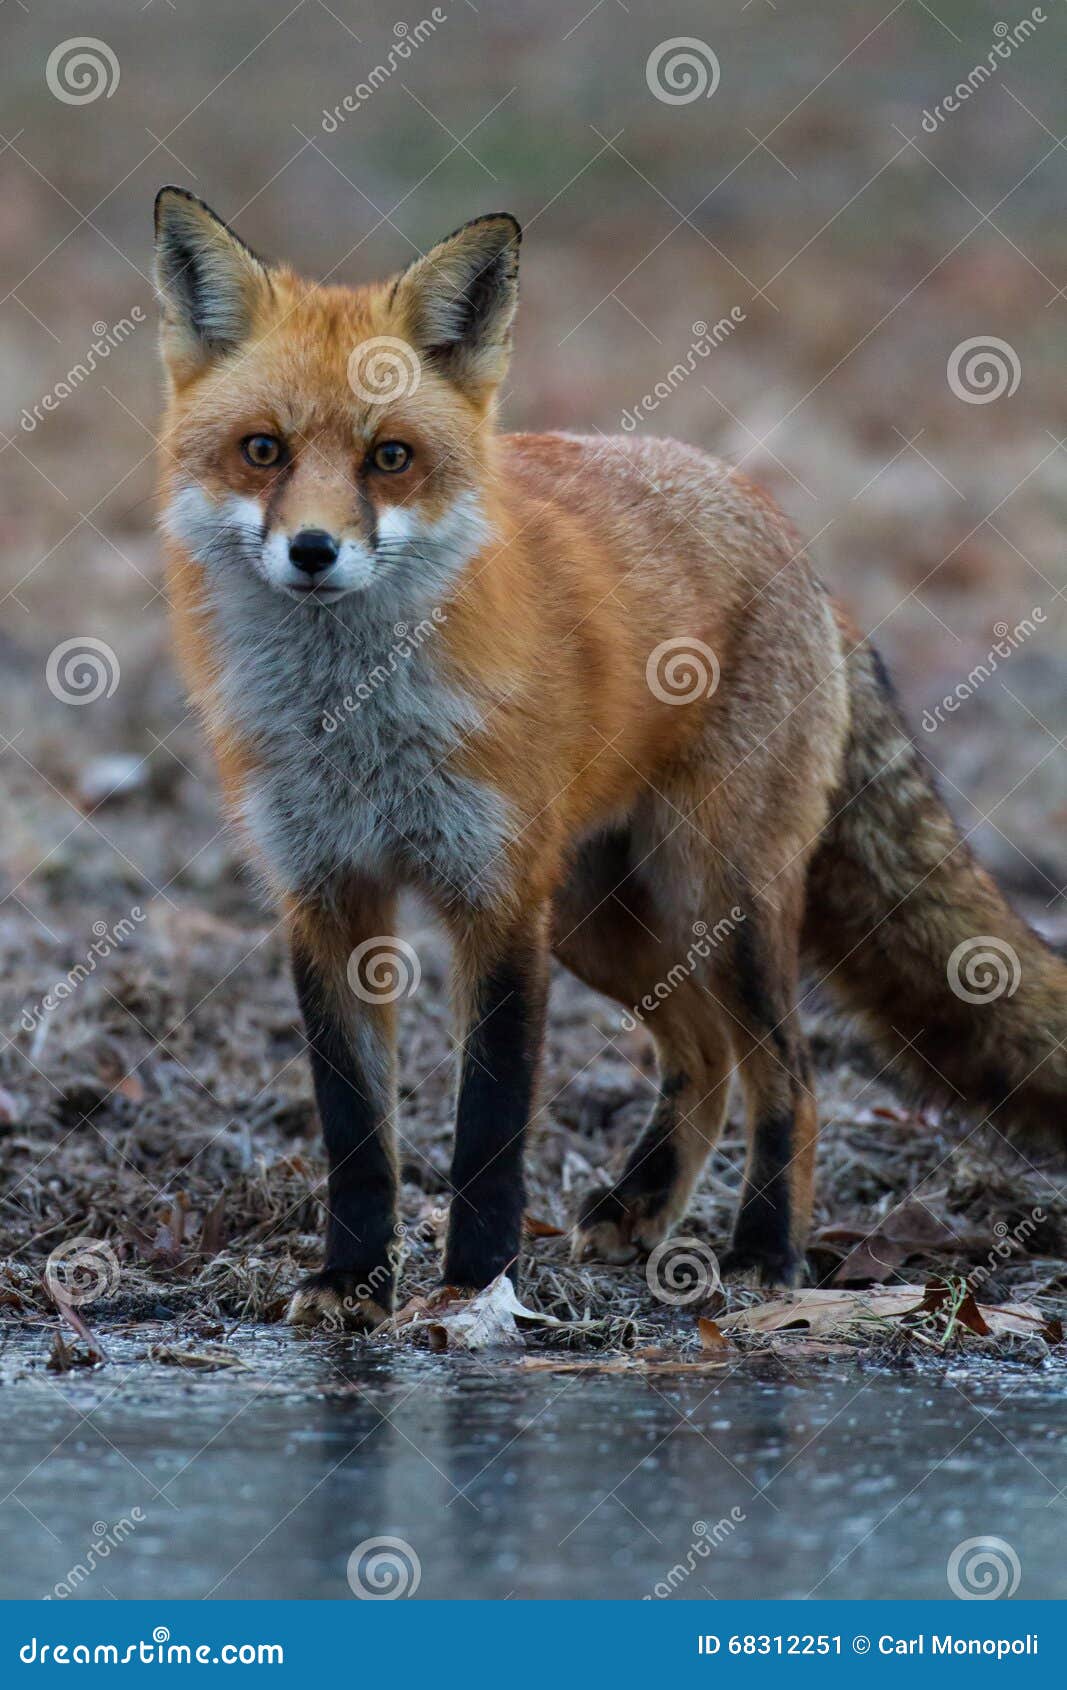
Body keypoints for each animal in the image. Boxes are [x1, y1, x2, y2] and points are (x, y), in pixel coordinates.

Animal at [154, 186, 1067, 1329]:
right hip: (605, 918)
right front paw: (353, 1282)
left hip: (714, 898)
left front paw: (473, 1289)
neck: (355, 720)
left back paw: (766, 1251)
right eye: (263, 450)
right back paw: (644, 1209)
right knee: (704, 1056)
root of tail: (788, 537)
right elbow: (355, 1129)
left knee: (789, 1076)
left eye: (389, 458)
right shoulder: (325, 894)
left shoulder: (497, 901)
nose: (313, 551)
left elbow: (488, 1124)